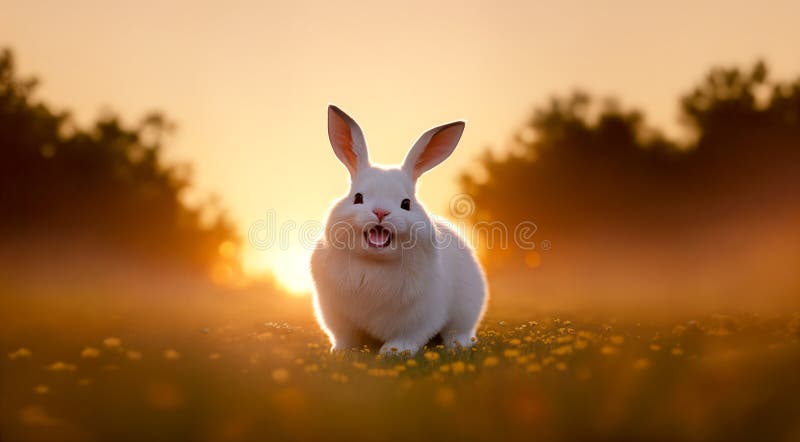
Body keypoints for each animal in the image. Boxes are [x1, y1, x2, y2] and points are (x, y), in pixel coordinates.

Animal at [310, 104, 488, 355]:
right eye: (358, 198)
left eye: (406, 203)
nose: (381, 212)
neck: (374, 262)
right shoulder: (337, 316)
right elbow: (345, 338)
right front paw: (341, 353)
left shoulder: (420, 317)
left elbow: (407, 338)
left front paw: (391, 353)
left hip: (465, 314)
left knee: (458, 332)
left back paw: (457, 346)